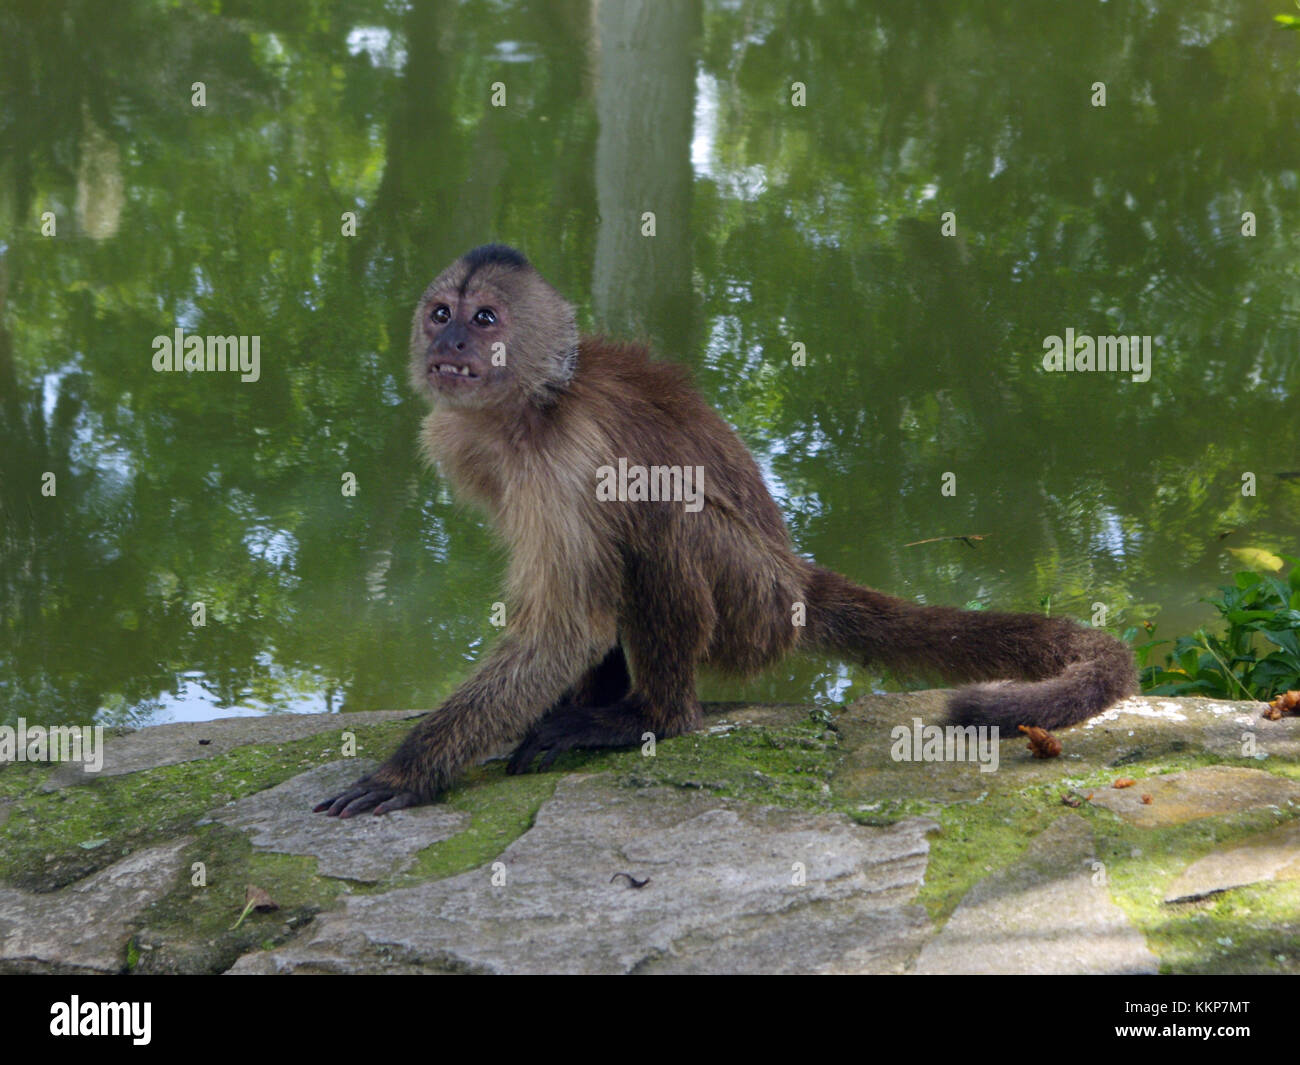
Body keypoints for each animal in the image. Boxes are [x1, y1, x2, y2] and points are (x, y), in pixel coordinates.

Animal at [316, 244, 1137, 817]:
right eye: (440, 313)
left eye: (484, 319)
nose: (449, 344)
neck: (538, 404)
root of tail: (795, 578)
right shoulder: (463, 443)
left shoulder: (567, 455)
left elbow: (567, 624)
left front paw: (411, 768)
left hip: (755, 610)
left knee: (658, 522)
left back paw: (653, 717)